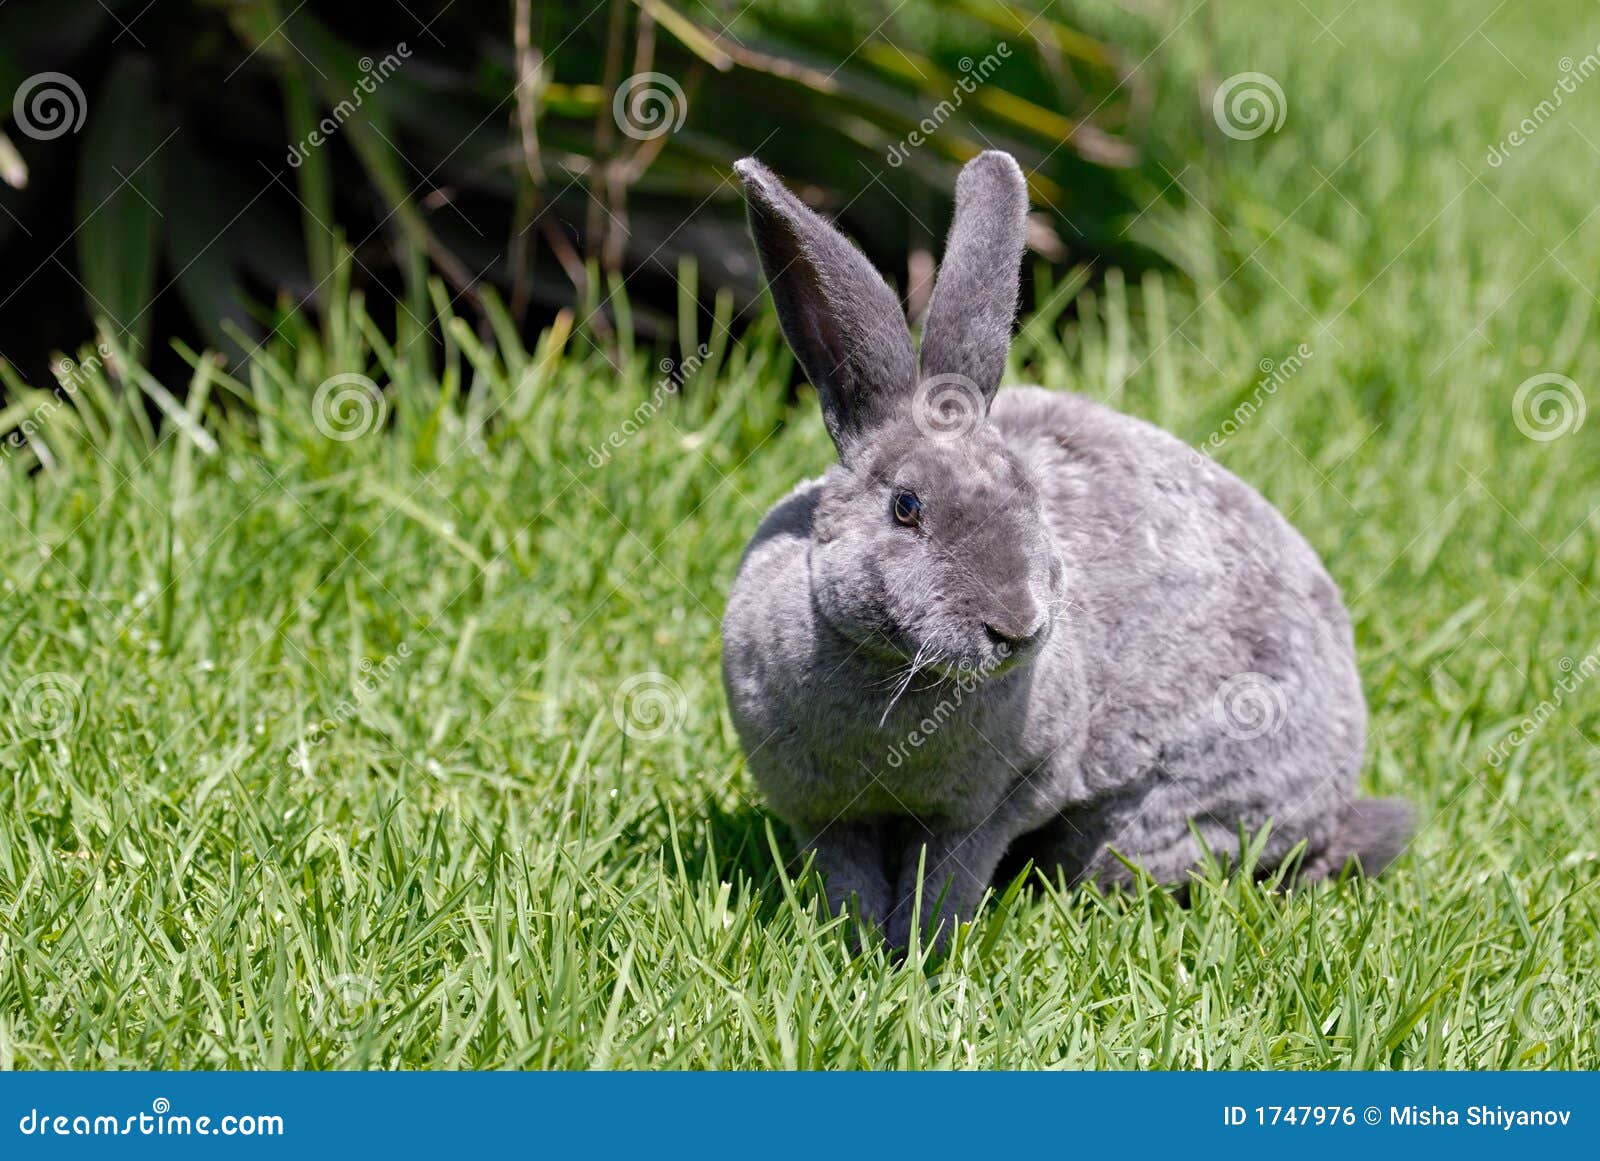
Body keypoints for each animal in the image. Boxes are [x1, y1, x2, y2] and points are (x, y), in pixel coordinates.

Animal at [720, 150, 1412, 949]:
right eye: (907, 508)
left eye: (1030, 495)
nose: (1018, 627)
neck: (892, 671)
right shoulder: (825, 814)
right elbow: (849, 881)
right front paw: (858, 945)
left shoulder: (990, 807)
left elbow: (946, 879)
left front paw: (922, 950)